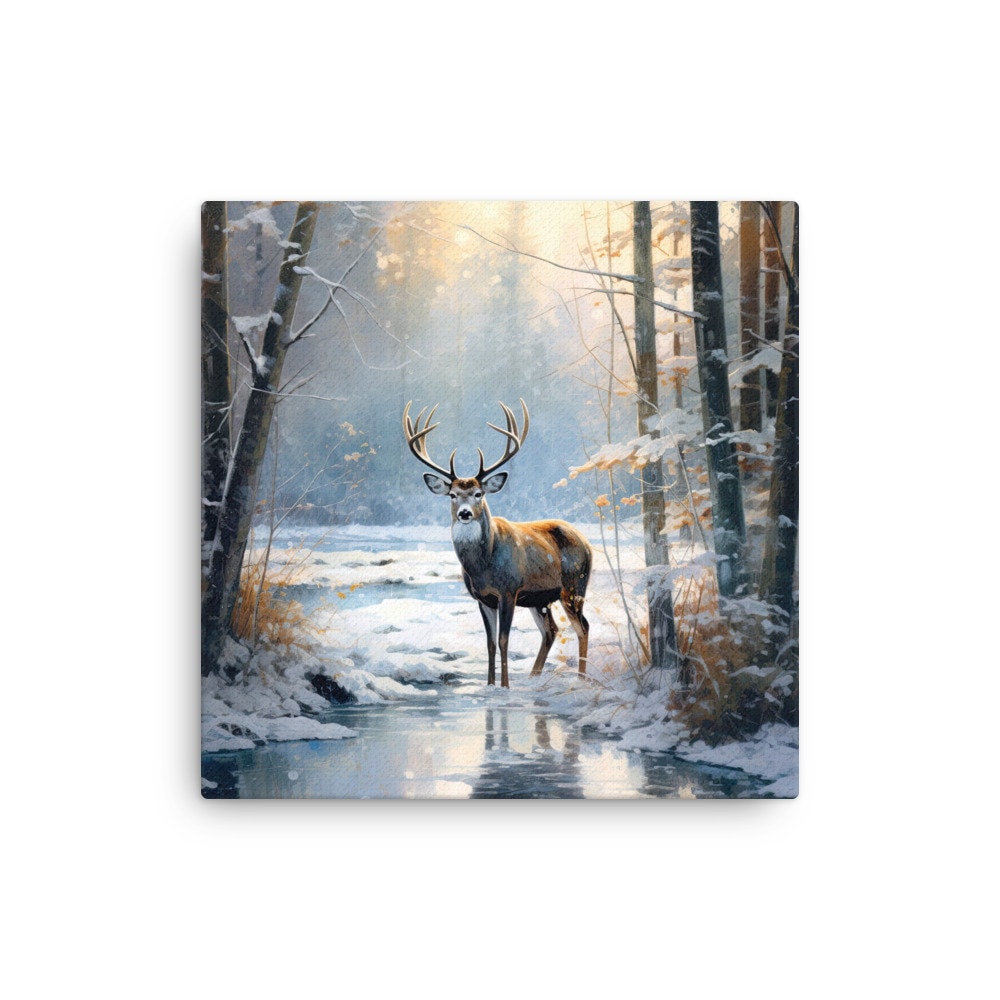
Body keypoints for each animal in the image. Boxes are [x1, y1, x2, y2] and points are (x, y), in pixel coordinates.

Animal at [404, 399, 592, 689]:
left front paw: (504, 686)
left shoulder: (508, 590)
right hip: (541, 598)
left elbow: (503, 640)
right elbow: (490, 643)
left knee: (582, 627)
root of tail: (587, 543)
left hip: (574, 586)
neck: (483, 565)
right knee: (551, 630)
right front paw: (490, 685)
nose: (465, 513)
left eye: (478, 493)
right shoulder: (483, 598)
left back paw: (581, 679)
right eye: (452, 495)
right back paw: (534, 677)